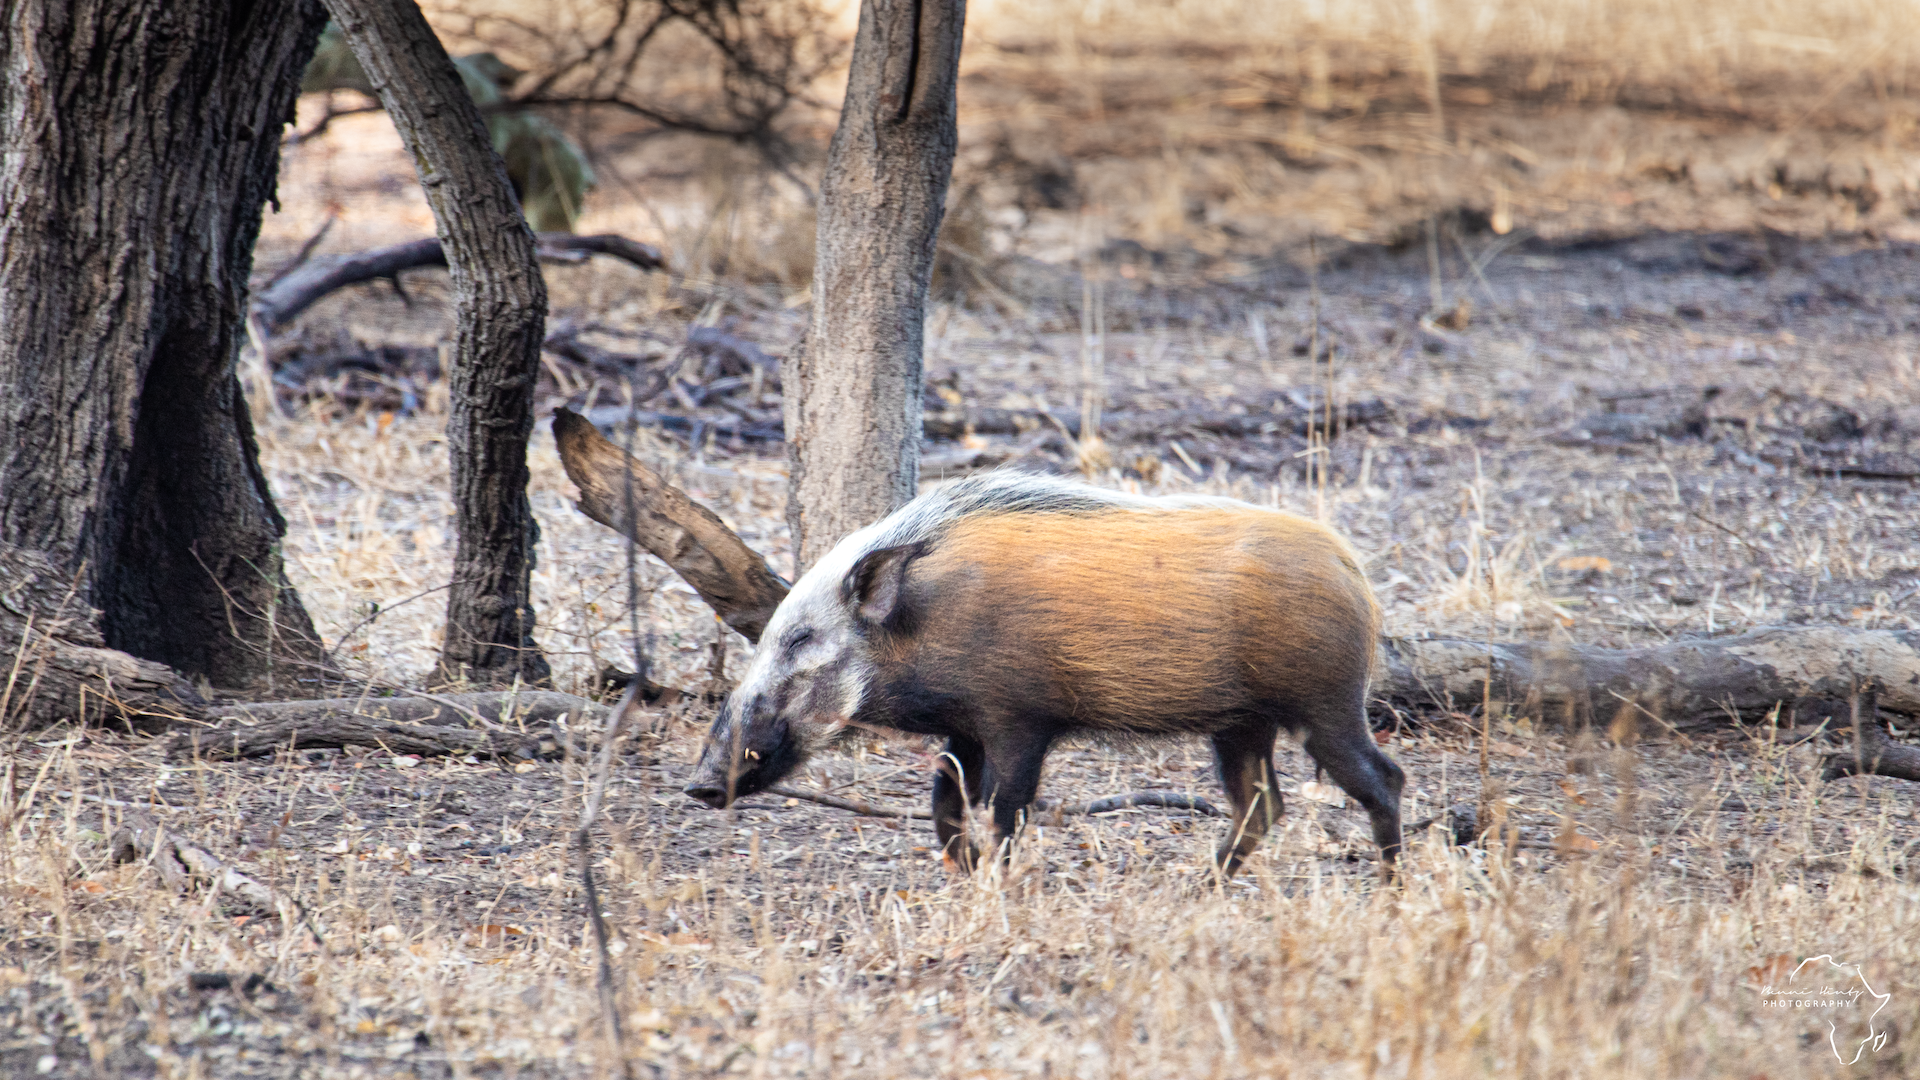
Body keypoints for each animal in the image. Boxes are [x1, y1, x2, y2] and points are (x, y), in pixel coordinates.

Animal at [683, 472, 1404, 878]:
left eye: (801, 638)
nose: (699, 785)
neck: (925, 617)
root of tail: (1356, 575)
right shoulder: (966, 728)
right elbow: (945, 800)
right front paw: (967, 874)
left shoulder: (1019, 721)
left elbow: (1007, 807)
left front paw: (996, 884)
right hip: (1243, 725)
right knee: (1261, 804)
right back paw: (1202, 886)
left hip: (1323, 706)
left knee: (1381, 778)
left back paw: (1390, 889)